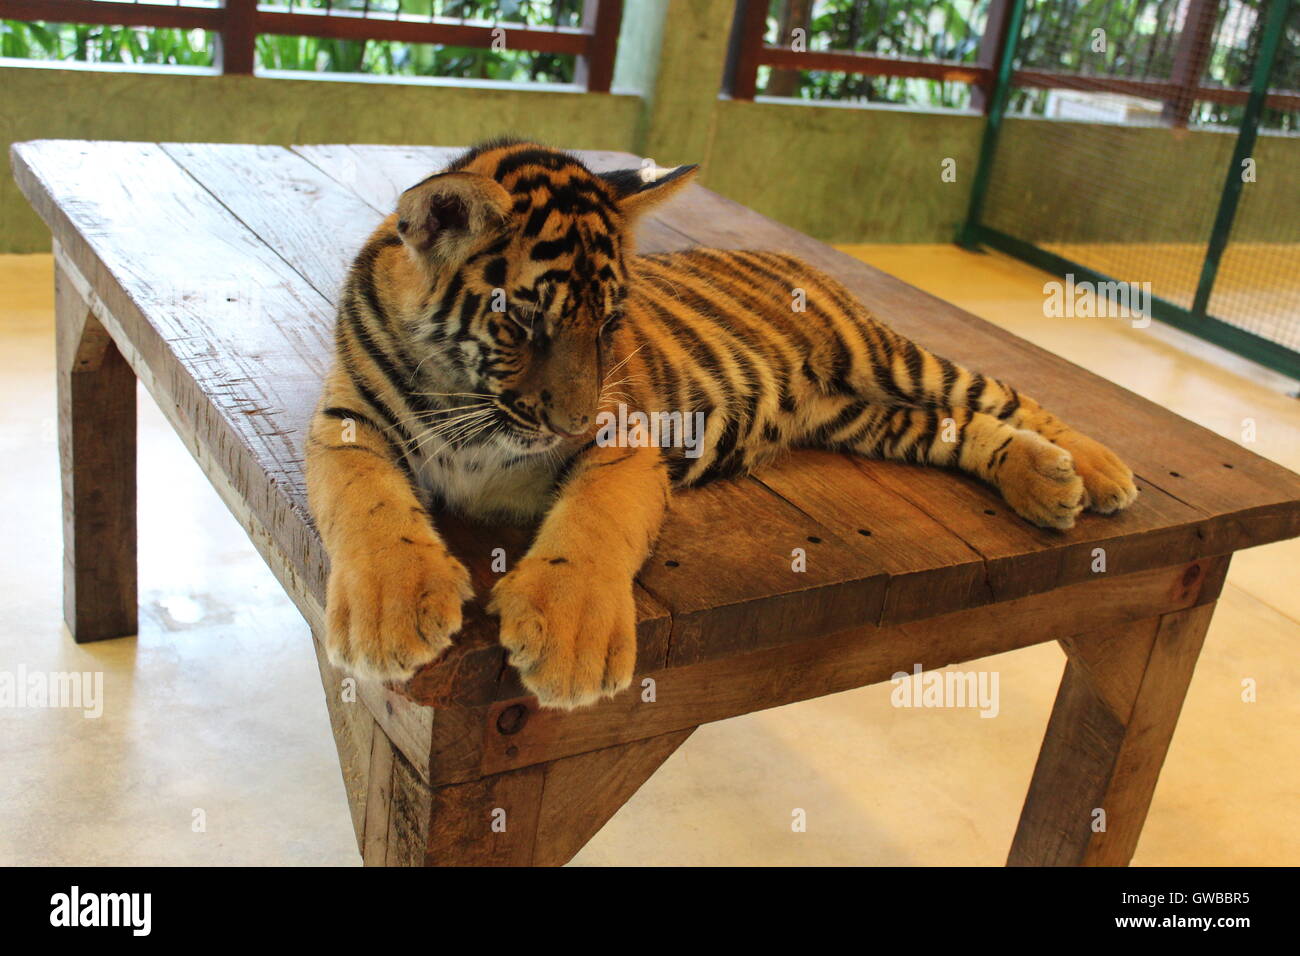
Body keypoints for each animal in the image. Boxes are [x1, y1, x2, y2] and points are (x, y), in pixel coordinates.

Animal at [305, 137, 1138, 710]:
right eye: (523, 322)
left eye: (609, 325)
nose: (569, 423)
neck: (466, 399)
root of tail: (798, 258)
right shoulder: (347, 419)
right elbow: (367, 503)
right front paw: (390, 614)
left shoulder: (621, 439)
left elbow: (595, 522)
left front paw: (569, 638)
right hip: (860, 417)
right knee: (958, 425)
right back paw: (1046, 481)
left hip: (884, 359)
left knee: (1006, 394)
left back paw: (1097, 472)